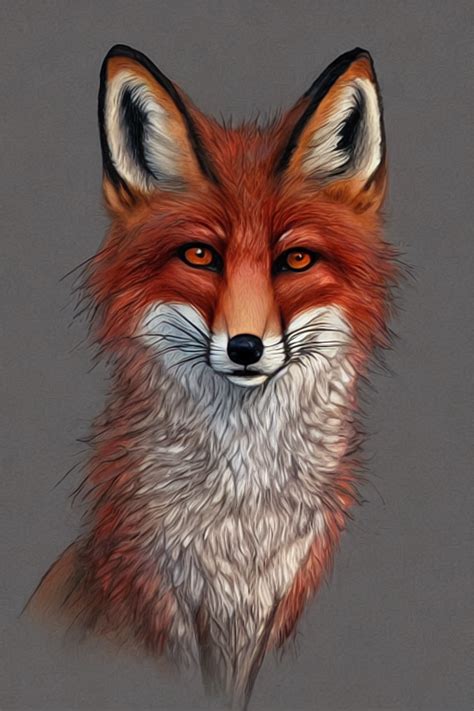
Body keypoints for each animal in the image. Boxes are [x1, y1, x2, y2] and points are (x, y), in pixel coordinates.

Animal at [28, 44, 397, 709]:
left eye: (295, 259)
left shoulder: (267, 607)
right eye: (200, 255)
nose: (245, 347)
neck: (239, 518)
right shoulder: (161, 595)